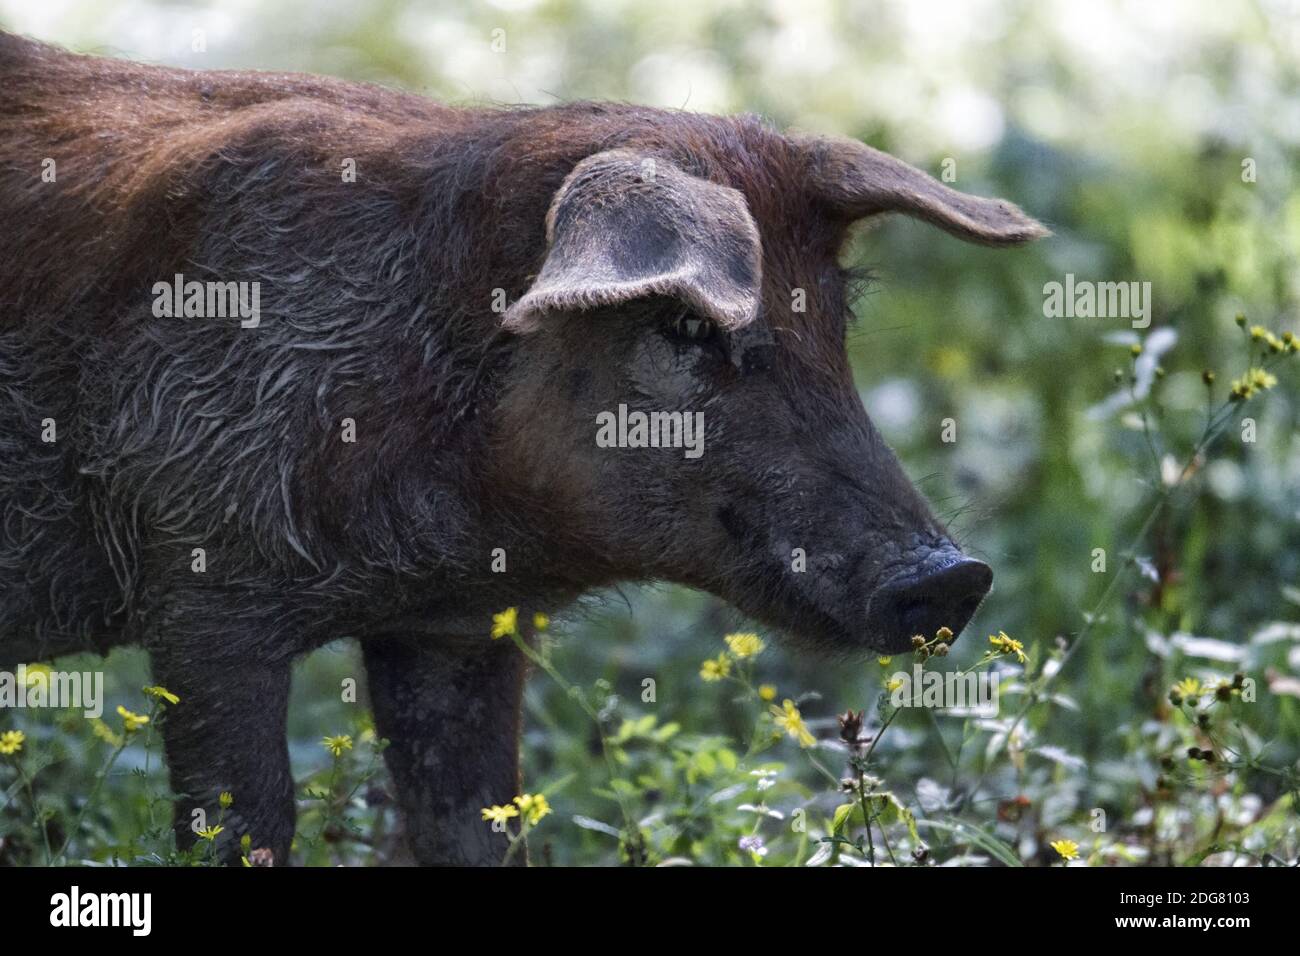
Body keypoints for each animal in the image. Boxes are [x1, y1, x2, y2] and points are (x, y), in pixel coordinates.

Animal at [0, 32, 1046, 865]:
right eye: (684, 325)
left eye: (839, 317)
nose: (954, 575)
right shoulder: (200, 591)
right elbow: (241, 822)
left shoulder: (458, 629)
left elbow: (477, 826)